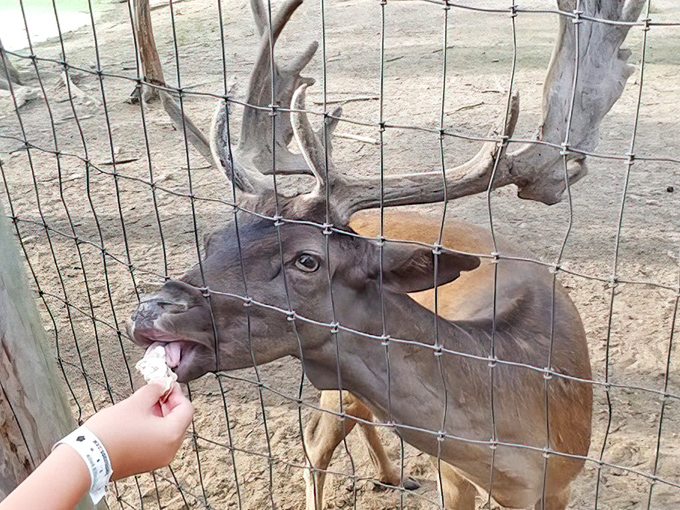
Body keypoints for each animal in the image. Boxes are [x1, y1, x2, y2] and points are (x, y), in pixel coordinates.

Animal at [129, 0, 644, 508]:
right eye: (214, 238)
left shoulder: (562, 482)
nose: (150, 309)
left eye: (307, 260)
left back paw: (393, 474)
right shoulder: (450, 471)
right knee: (316, 442)